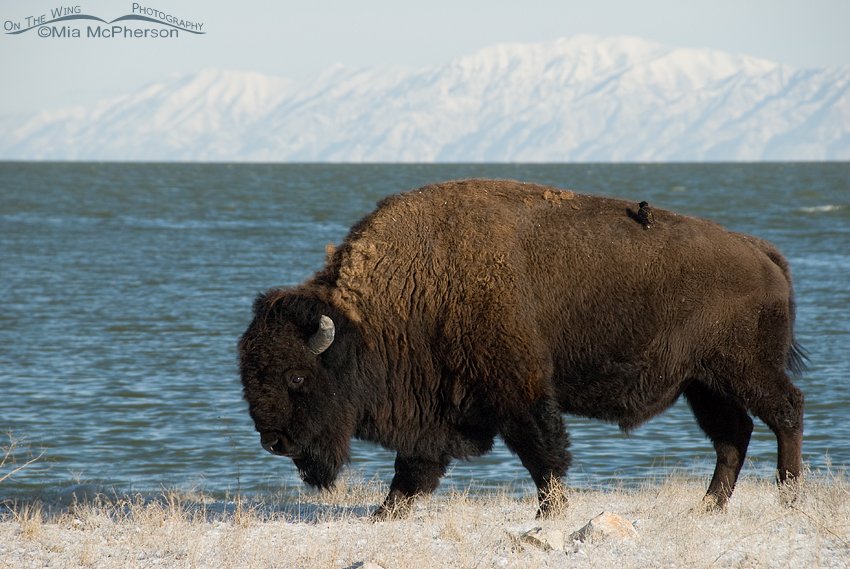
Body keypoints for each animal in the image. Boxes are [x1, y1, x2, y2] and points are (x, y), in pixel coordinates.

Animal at [238, 179, 805, 518]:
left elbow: (543, 454)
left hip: (744, 371)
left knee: (785, 412)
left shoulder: (518, 389)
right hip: (703, 383)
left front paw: (549, 513)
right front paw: (384, 514)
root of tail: (759, 251)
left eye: (296, 377)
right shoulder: (435, 408)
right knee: (733, 436)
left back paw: (789, 496)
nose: (273, 441)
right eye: (251, 376)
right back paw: (707, 507)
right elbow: (414, 467)